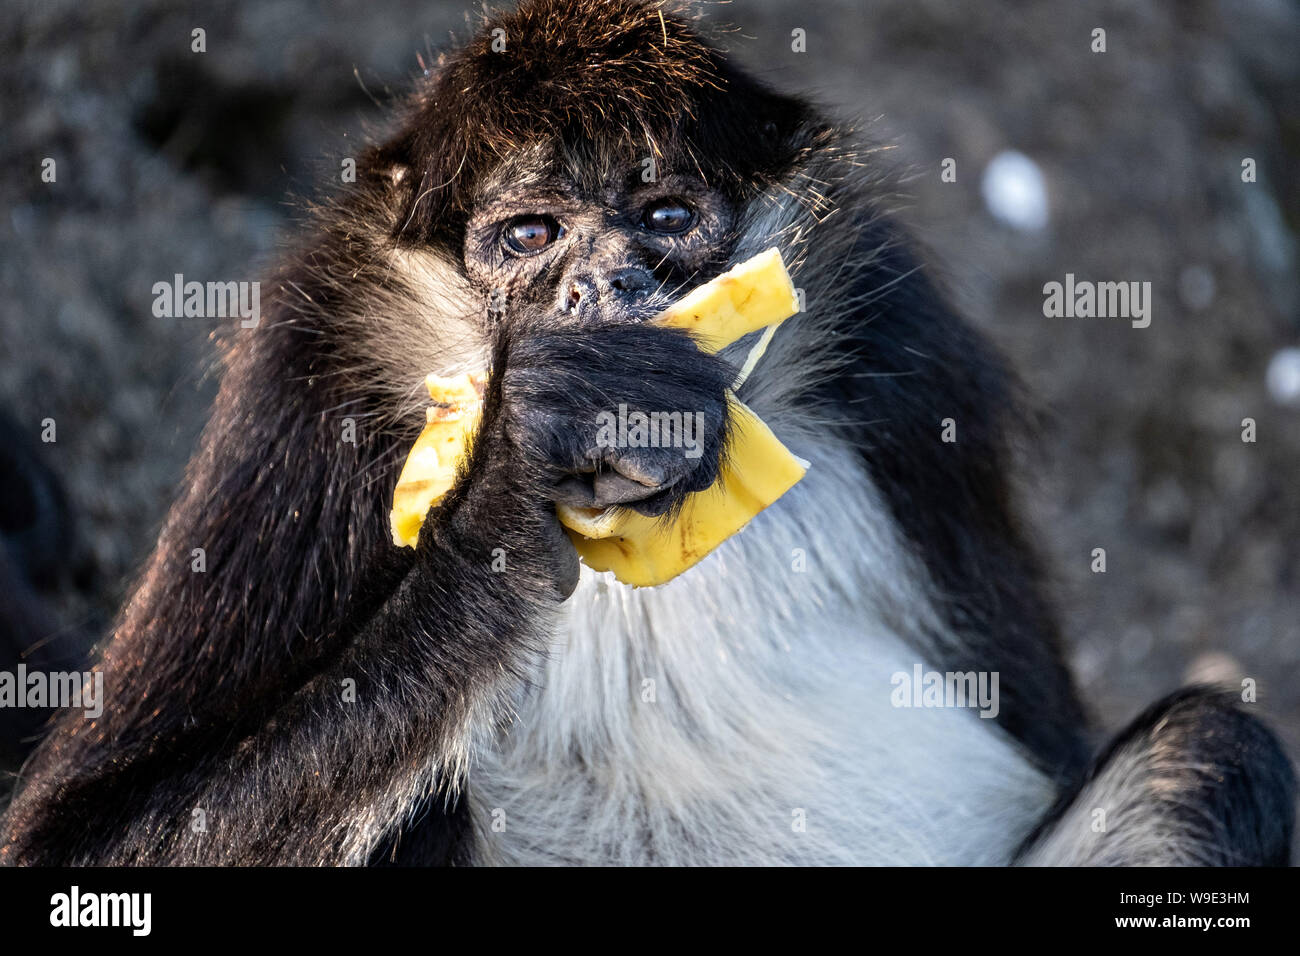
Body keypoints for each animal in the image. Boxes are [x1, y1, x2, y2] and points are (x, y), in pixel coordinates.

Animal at [0, 0, 1292, 866]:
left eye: (666, 217)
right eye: (529, 237)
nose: (607, 289)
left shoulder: (904, 353)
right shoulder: (306, 373)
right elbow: (75, 840)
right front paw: (513, 476)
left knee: (1207, 753)